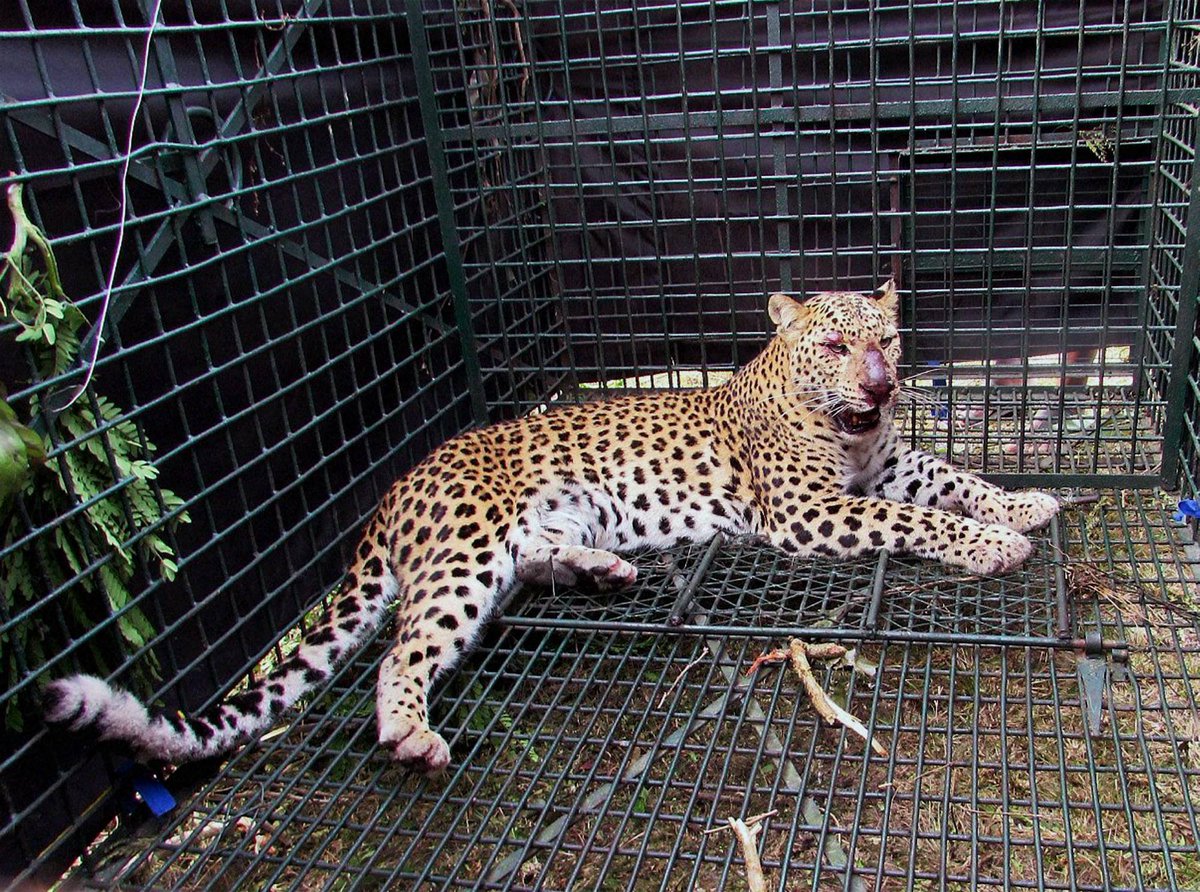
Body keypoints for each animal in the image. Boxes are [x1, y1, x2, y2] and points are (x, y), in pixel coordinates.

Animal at [45, 281, 1060, 773]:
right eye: (836, 345)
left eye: (887, 341)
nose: (881, 384)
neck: (851, 430)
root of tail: (391, 491)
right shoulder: (810, 510)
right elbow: (909, 517)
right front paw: (994, 543)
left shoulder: (887, 462)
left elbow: (949, 477)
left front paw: (1020, 504)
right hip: (462, 553)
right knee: (400, 651)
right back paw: (410, 734)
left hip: (531, 531)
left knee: (527, 566)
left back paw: (598, 571)